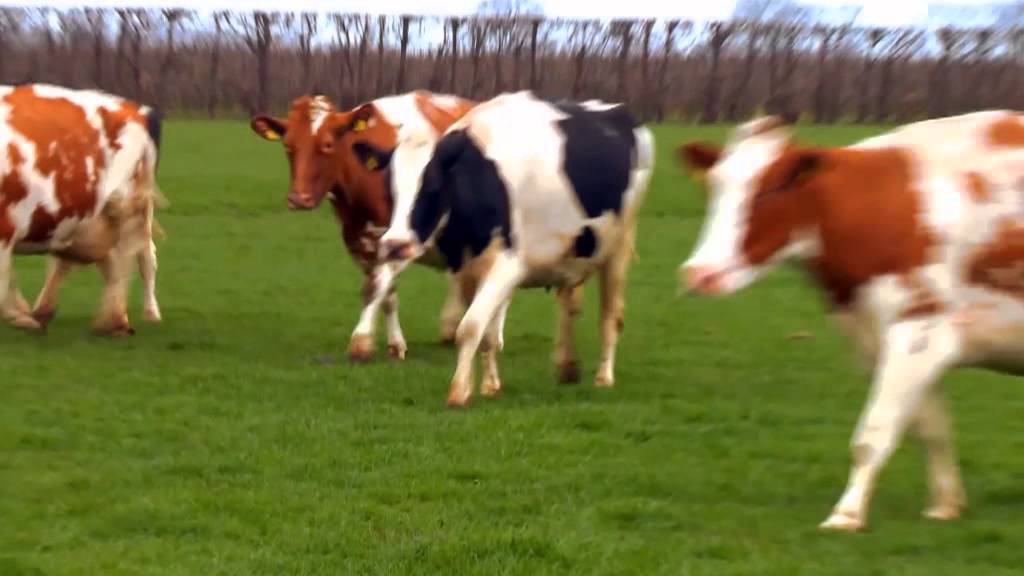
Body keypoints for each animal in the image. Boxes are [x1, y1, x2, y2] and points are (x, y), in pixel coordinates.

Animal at [1, 84, 163, 335]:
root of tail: (137, 109)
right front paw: (23, 315)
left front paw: (21, 316)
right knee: (92, 262)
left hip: (129, 209)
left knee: (139, 258)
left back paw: (132, 317)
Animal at [250, 90, 477, 362]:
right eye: (288, 145)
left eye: (328, 144)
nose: (298, 198)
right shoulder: (358, 240)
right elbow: (387, 294)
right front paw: (395, 344)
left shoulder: (408, 241)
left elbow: (375, 286)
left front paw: (361, 342)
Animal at [357, 90, 654, 407]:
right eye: (389, 190)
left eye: (433, 187)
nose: (394, 246)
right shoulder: (467, 269)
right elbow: (485, 333)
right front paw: (489, 386)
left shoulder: (507, 266)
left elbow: (470, 327)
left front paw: (459, 391)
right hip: (573, 251)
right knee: (569, 305)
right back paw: (567, 368)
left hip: (618, 248)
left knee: (610, 315)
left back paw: (604, 377)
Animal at [678, 112, 1024, 531]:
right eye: (714, 187)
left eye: (772, 189)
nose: (699, 274)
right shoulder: (885, 337)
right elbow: (932, 429)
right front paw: (944, 505)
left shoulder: (917, 328)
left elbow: (873, 433)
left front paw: (847, 514)